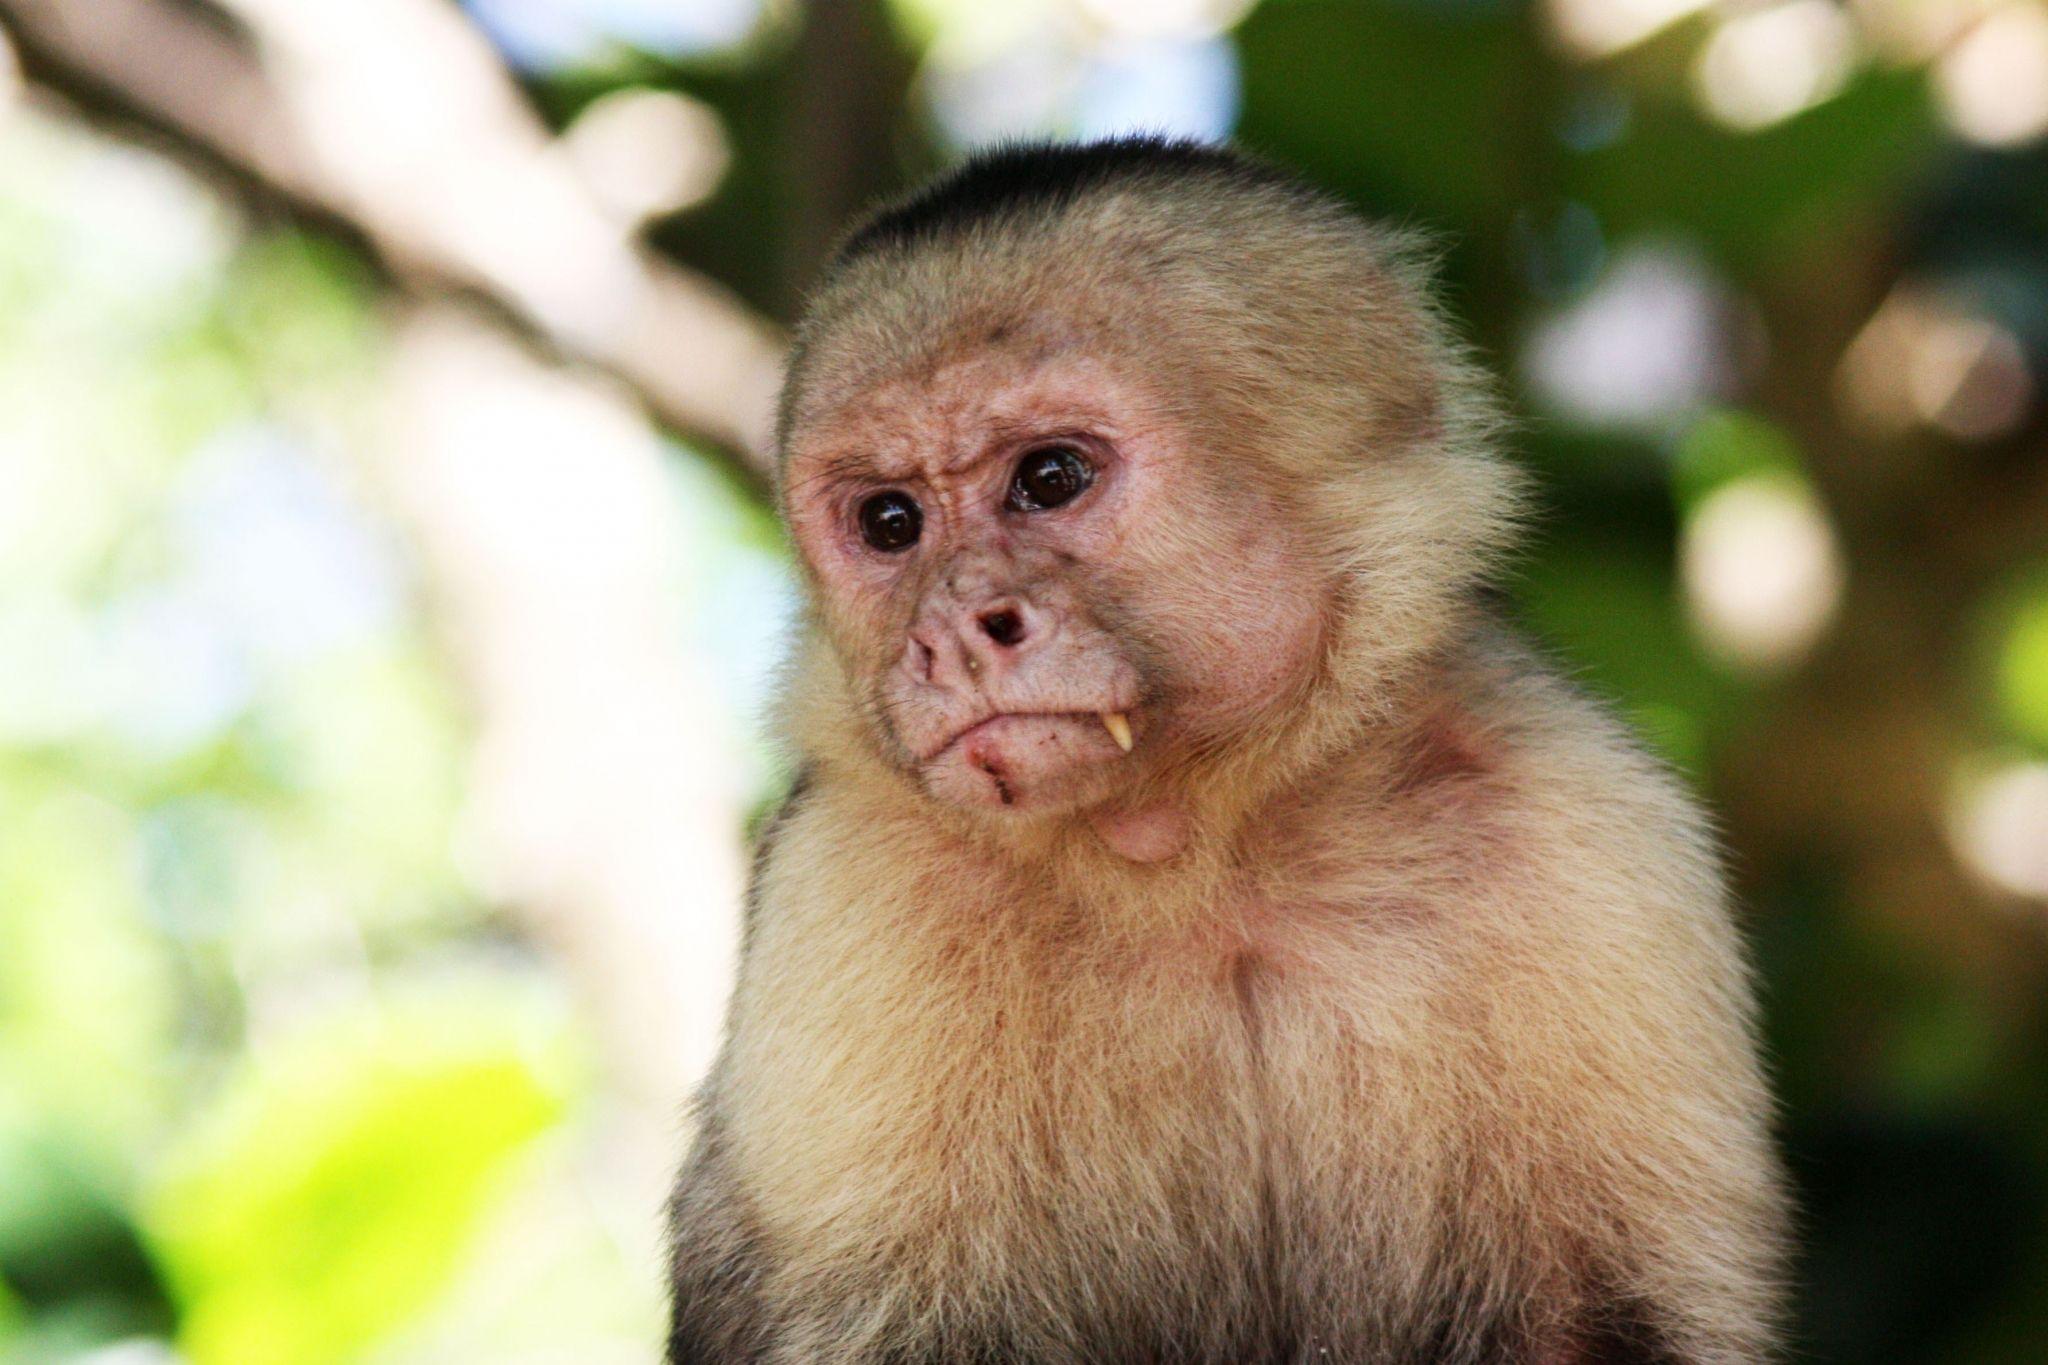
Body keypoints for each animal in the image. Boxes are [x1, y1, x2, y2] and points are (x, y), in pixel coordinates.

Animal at [666, 137, 1789, 1364]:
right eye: (888, 522)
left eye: (1050, 477)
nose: (954, 632)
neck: (1206, 855)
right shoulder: (857, 887)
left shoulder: (1589, 826)